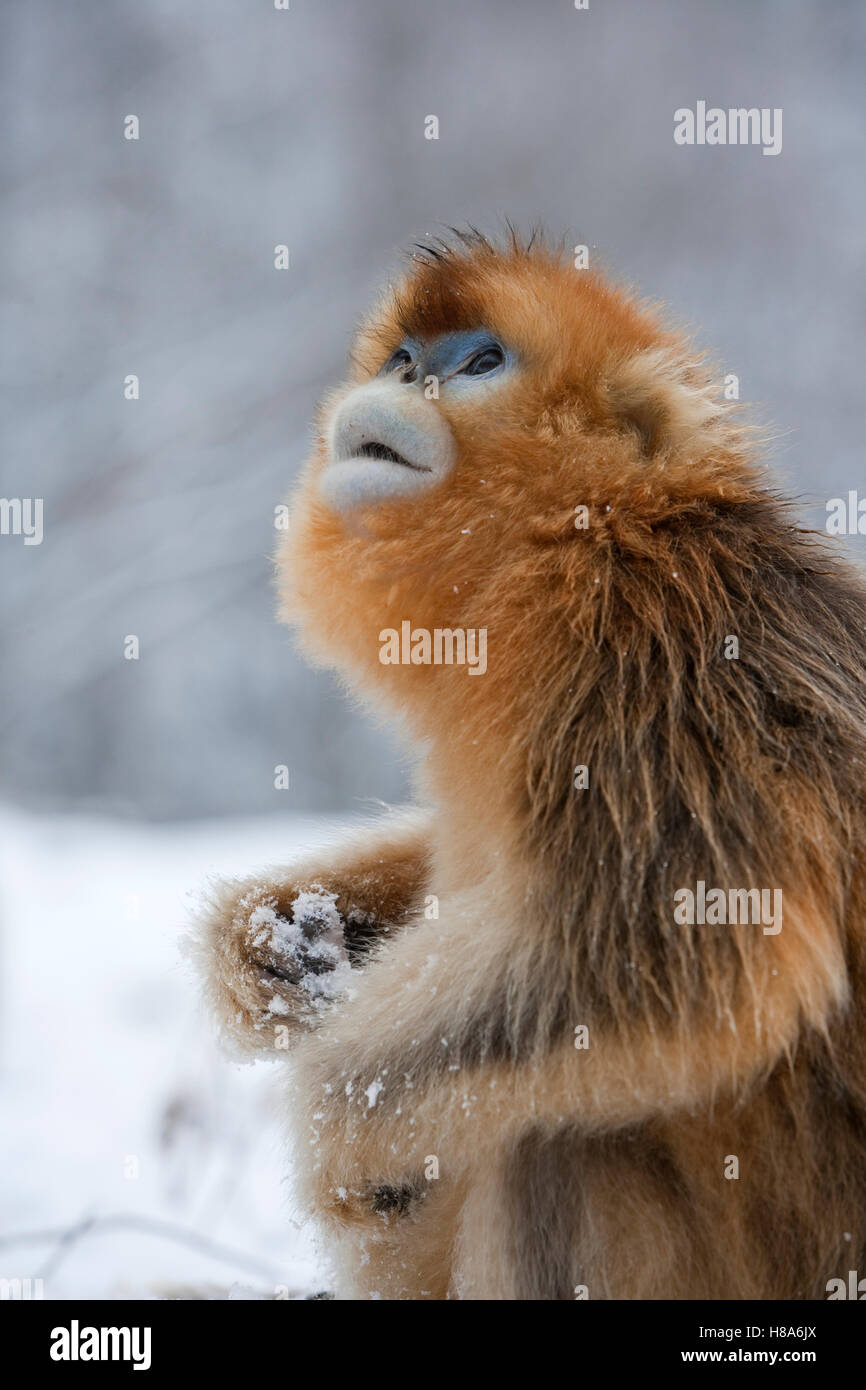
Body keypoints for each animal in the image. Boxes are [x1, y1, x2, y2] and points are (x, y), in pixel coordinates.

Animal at [195, 229, 866, 1300]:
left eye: (479, 363)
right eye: (403, 357)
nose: (408, 377)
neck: (592, 536)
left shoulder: (668, 664)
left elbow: (684, 957)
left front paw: (337, 1117)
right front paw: (273, 944)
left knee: (551, 1139)